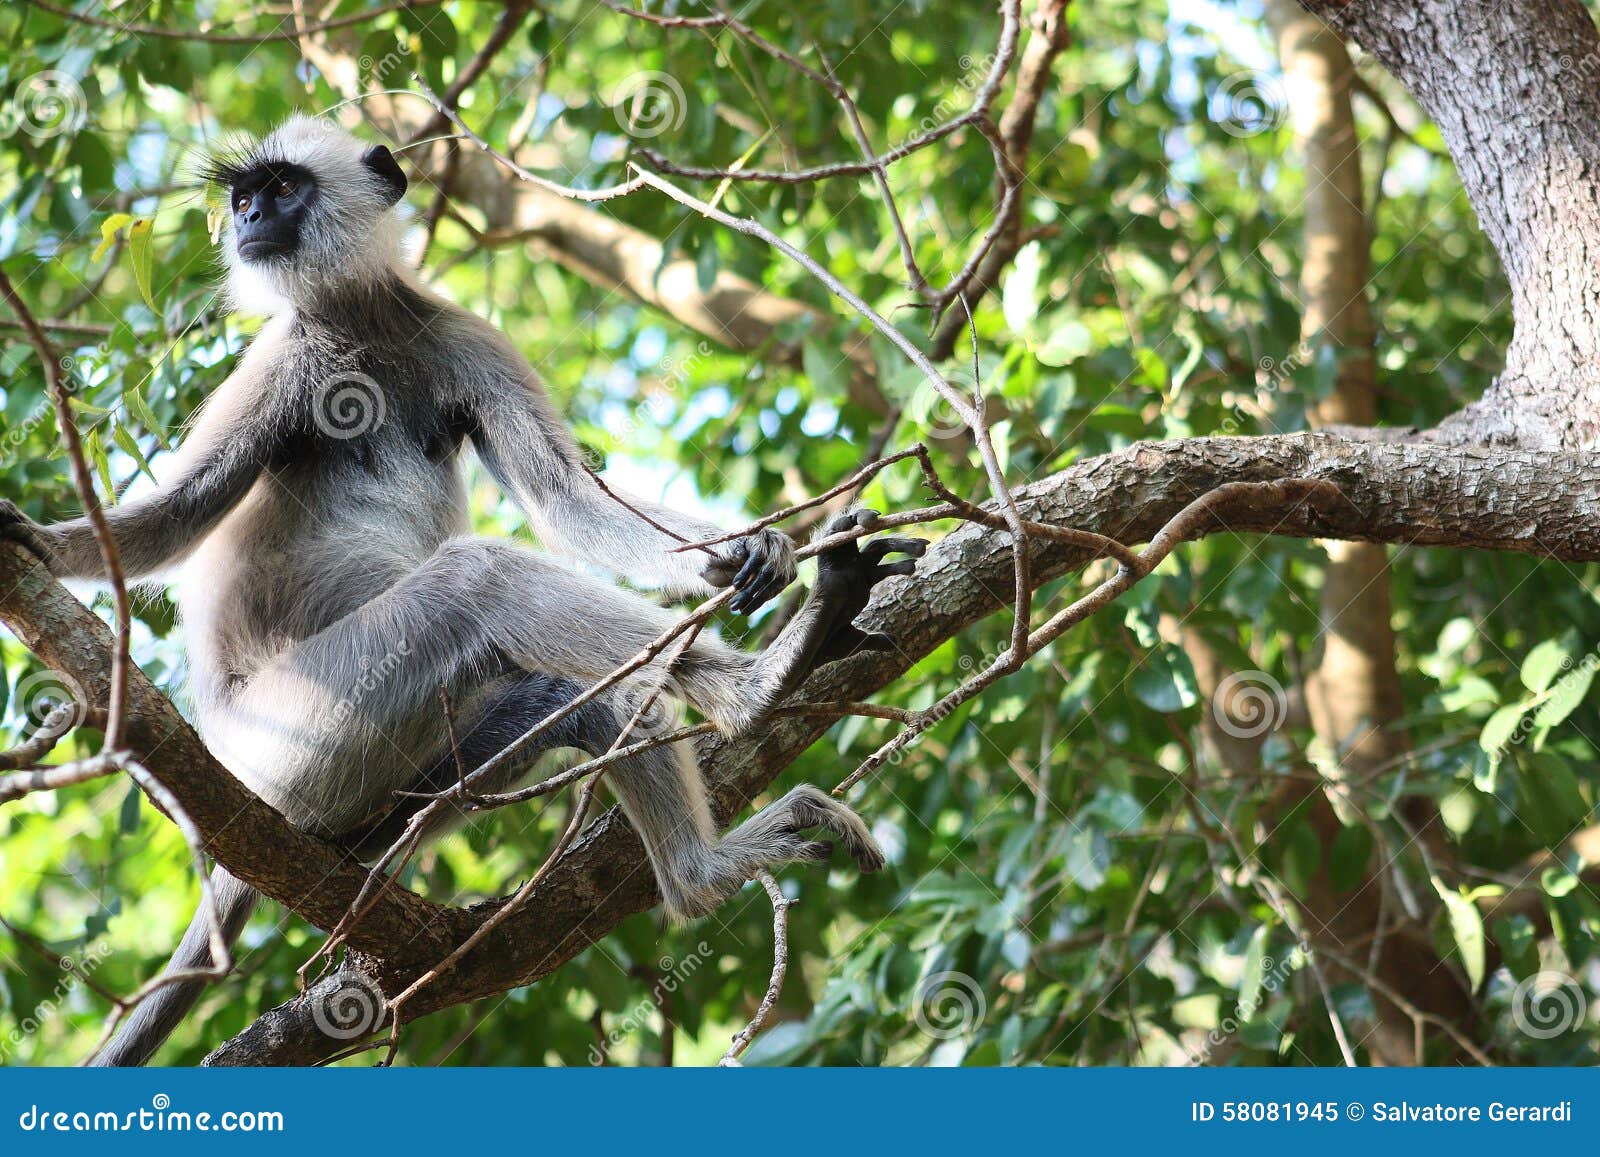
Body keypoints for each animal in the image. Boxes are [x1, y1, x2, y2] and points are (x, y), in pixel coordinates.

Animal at [0, 116, 924, 1065]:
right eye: (246, 195)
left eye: (282, 189)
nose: (250, 216)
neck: (359, 319)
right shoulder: (280, 360)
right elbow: (173, 516)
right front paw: (39, 543)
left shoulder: (457, 335)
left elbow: (565, 498)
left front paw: (744, 547)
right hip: (297, 728)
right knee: (479, 579)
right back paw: (752, 717)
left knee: (571, 694)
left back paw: (722, 795)